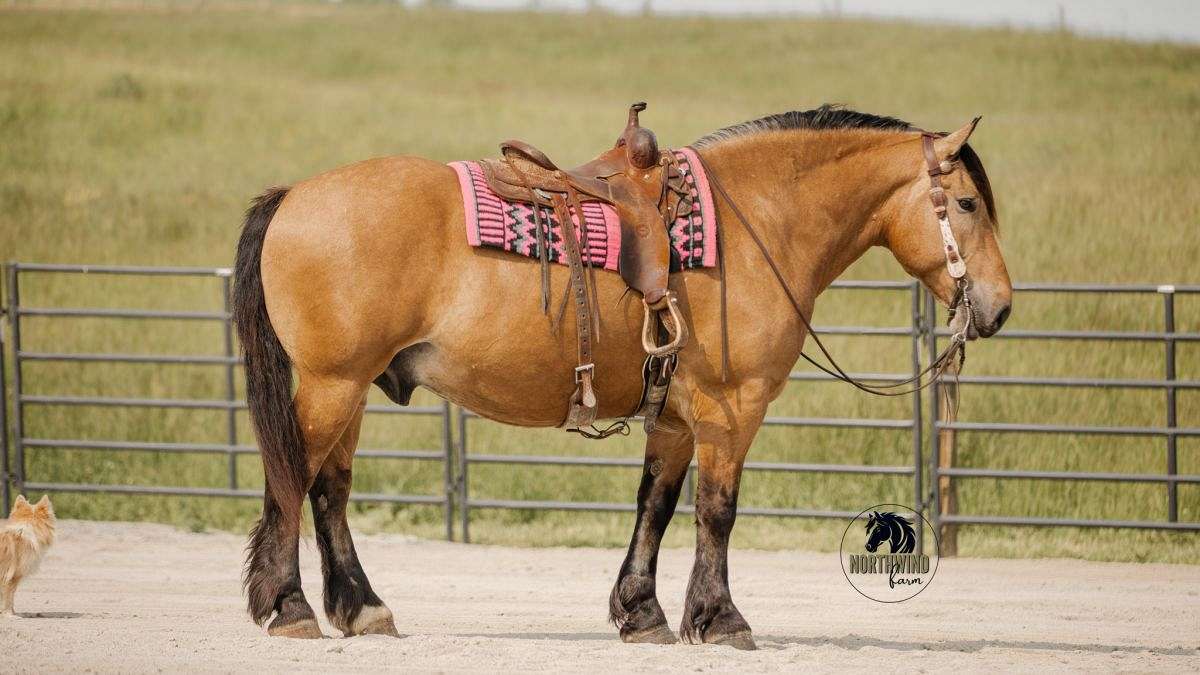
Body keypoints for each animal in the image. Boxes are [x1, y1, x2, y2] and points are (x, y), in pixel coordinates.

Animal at [232, 105, 1012, 650]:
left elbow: (656, 506)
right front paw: (722, 619)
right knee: (292, 478)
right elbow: (717, 511)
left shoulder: (674, 416)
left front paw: (643, 613)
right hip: (332, 382)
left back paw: (362, 608)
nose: (999, 306)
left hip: (352, 386)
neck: (756, 222)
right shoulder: (731, 411)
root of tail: (293, 195)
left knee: (329, 489)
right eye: (969, 204)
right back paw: (290, 606)